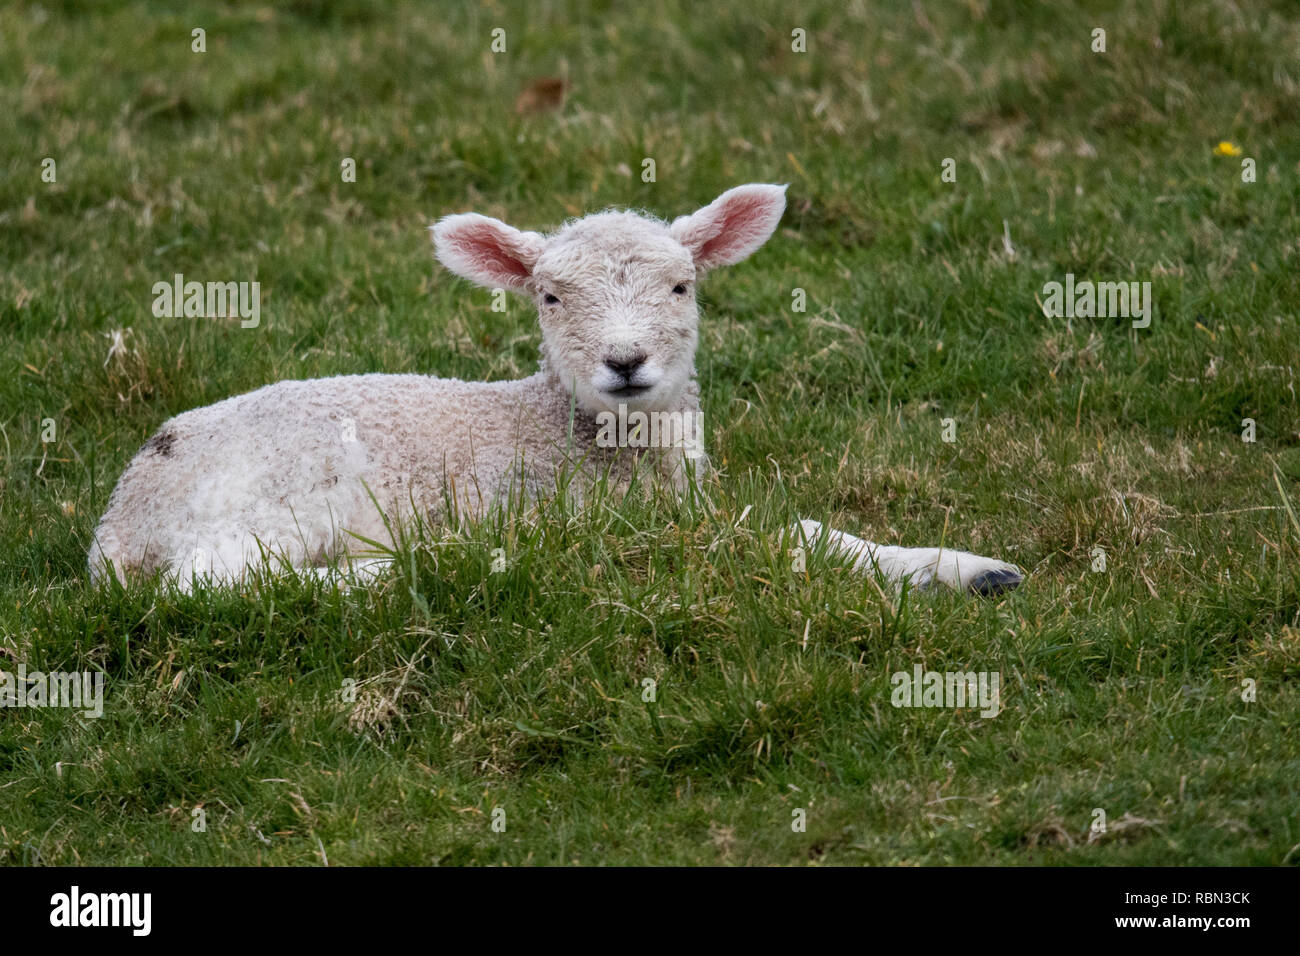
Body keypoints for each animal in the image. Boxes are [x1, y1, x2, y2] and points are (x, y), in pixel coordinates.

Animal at [88, 183, 1024, 596]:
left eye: (682, 286)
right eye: (548, 297)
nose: (625, 361)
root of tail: (116, 527)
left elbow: (812, 534)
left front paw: (974, 570)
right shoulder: (601, 518)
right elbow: (776, 543)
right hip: (276, 494)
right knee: (212, 581)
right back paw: (419, 567)